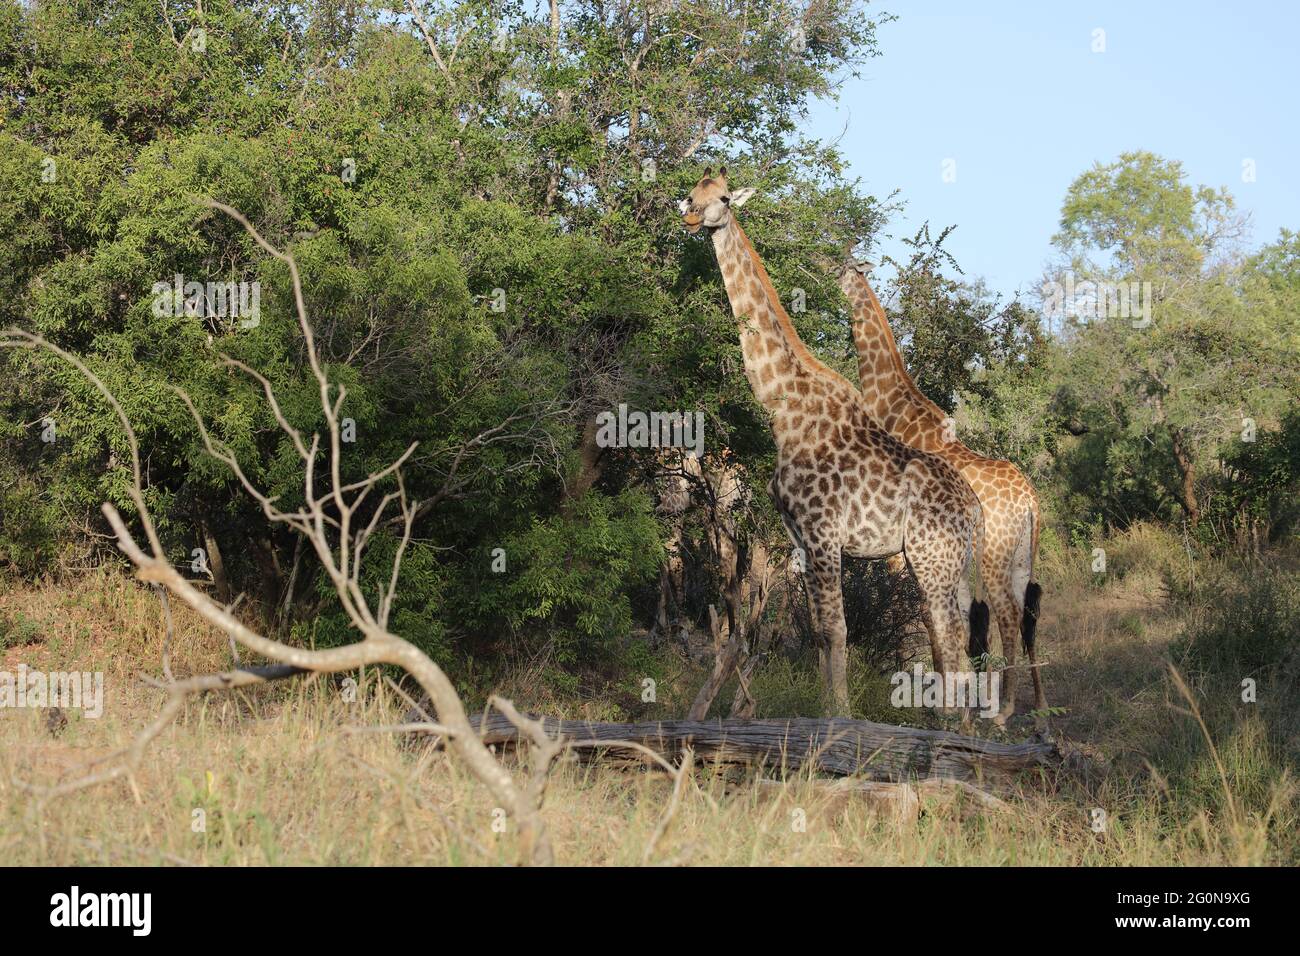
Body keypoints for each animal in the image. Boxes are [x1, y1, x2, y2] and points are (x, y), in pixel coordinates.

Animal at [680, 168, 989, 718]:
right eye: (694, 190)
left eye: (724, 198)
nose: (690, 213)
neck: (782, 409)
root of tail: (972, 508)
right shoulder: (801, 538)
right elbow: (821, 632)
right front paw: (825, 708)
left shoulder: (824, 533)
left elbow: (838, 629)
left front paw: (840, 718)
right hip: (946, 563)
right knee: (957, 634)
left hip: (932, 559)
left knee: (948, 633)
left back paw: (954, 724)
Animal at [836, 256, 1048, 723]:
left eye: (838, 267)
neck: (897, 409)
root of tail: (1030, 502)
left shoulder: (902, 552)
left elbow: (923, 616)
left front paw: (935, 698)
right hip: (1022, 555)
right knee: (1027, 614)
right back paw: (1040, 704)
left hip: (993, 554)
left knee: (1008, 615)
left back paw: (1003, 710)